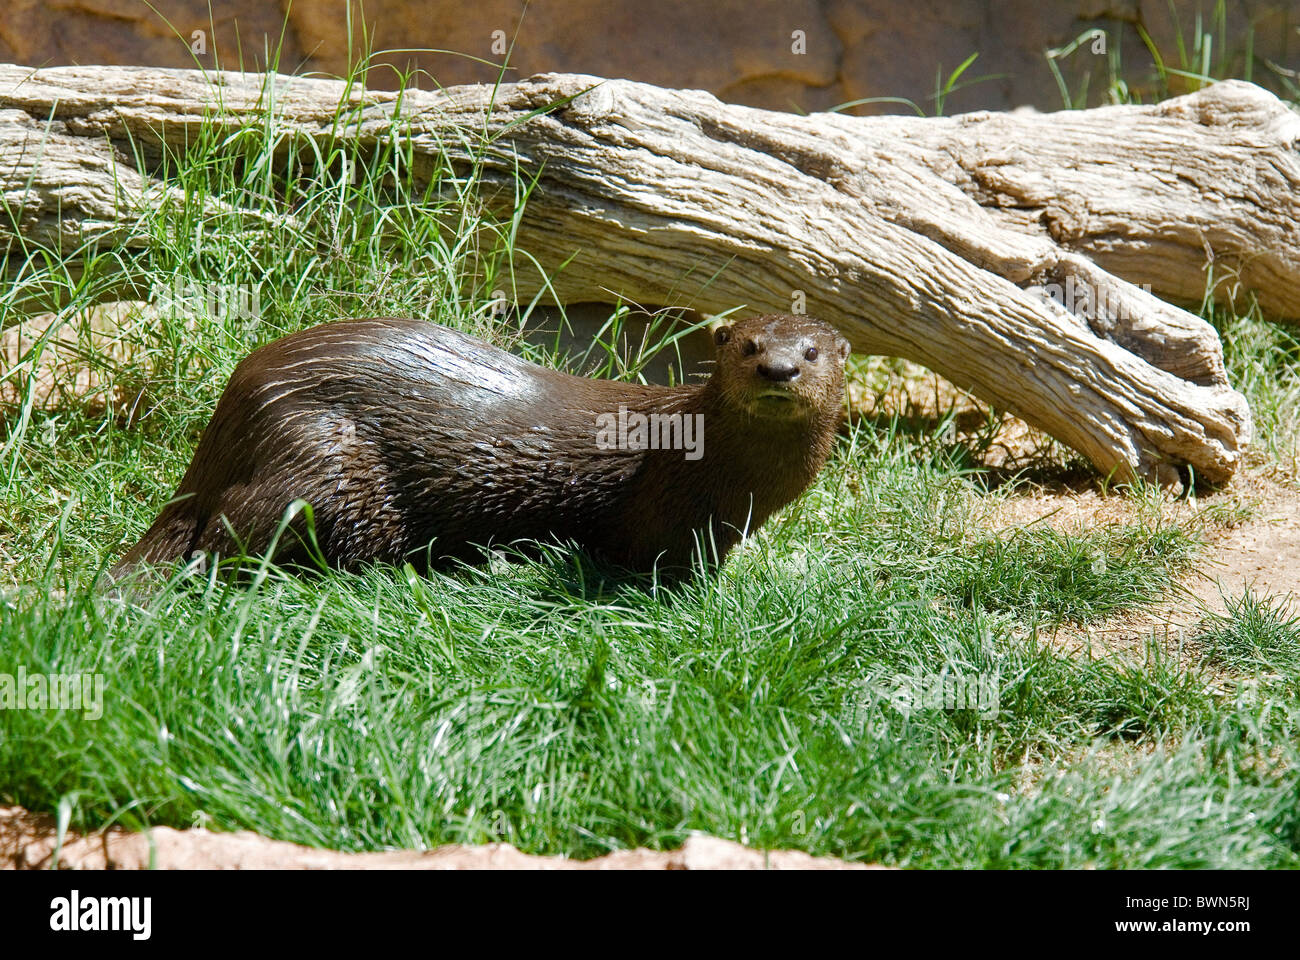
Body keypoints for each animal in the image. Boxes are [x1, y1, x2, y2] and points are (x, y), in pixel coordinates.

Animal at [109, 313, 850, 582]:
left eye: (812, 351)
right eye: (749, 347)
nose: (779, 370)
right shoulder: (661, 513)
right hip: (319, 459)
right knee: (228, 530)